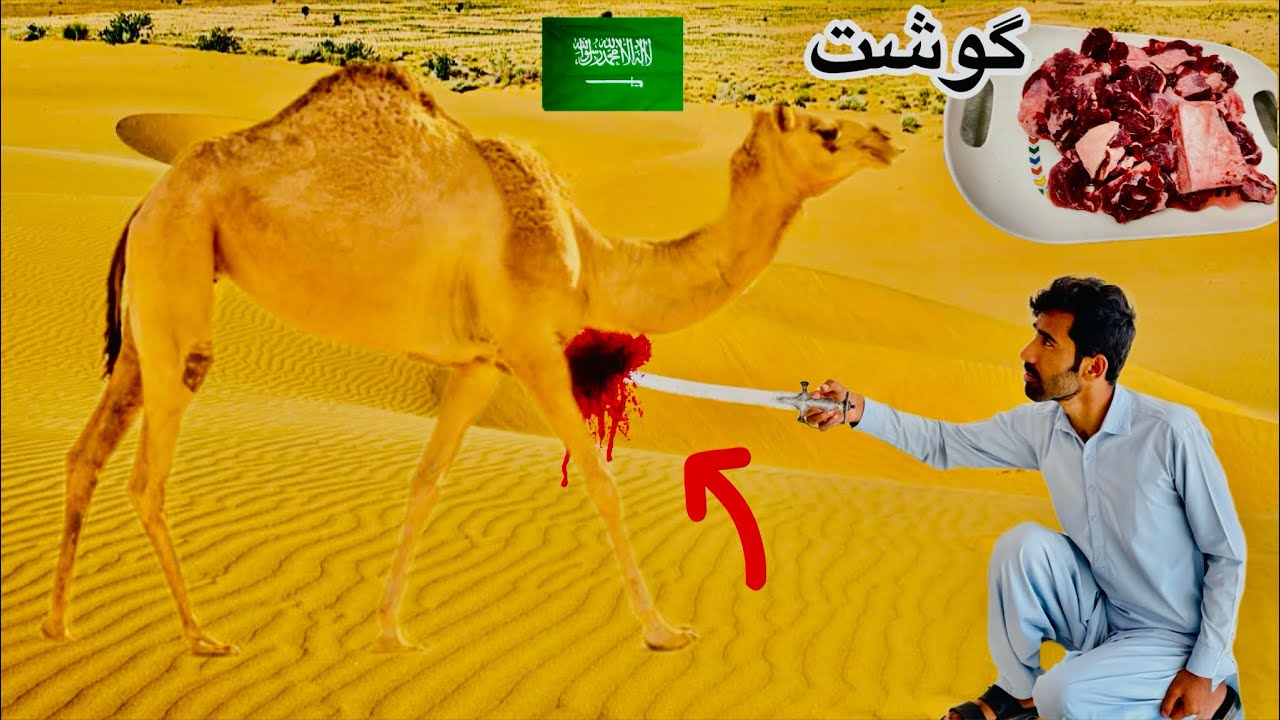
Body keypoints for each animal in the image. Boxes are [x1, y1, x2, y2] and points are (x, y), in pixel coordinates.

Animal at [43, 63, 898, 656]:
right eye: (824, 129)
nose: (887, 139)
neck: (591, 255)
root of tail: (147, 200)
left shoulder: (478, 364)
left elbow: (426, 482)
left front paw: (392, 631)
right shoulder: (532, 345)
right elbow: (601, 478)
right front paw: (662, 630)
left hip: (152, 298)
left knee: (87, 451)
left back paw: (59, 623)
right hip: (182, 265)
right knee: (148, 470)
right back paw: (200, 635)